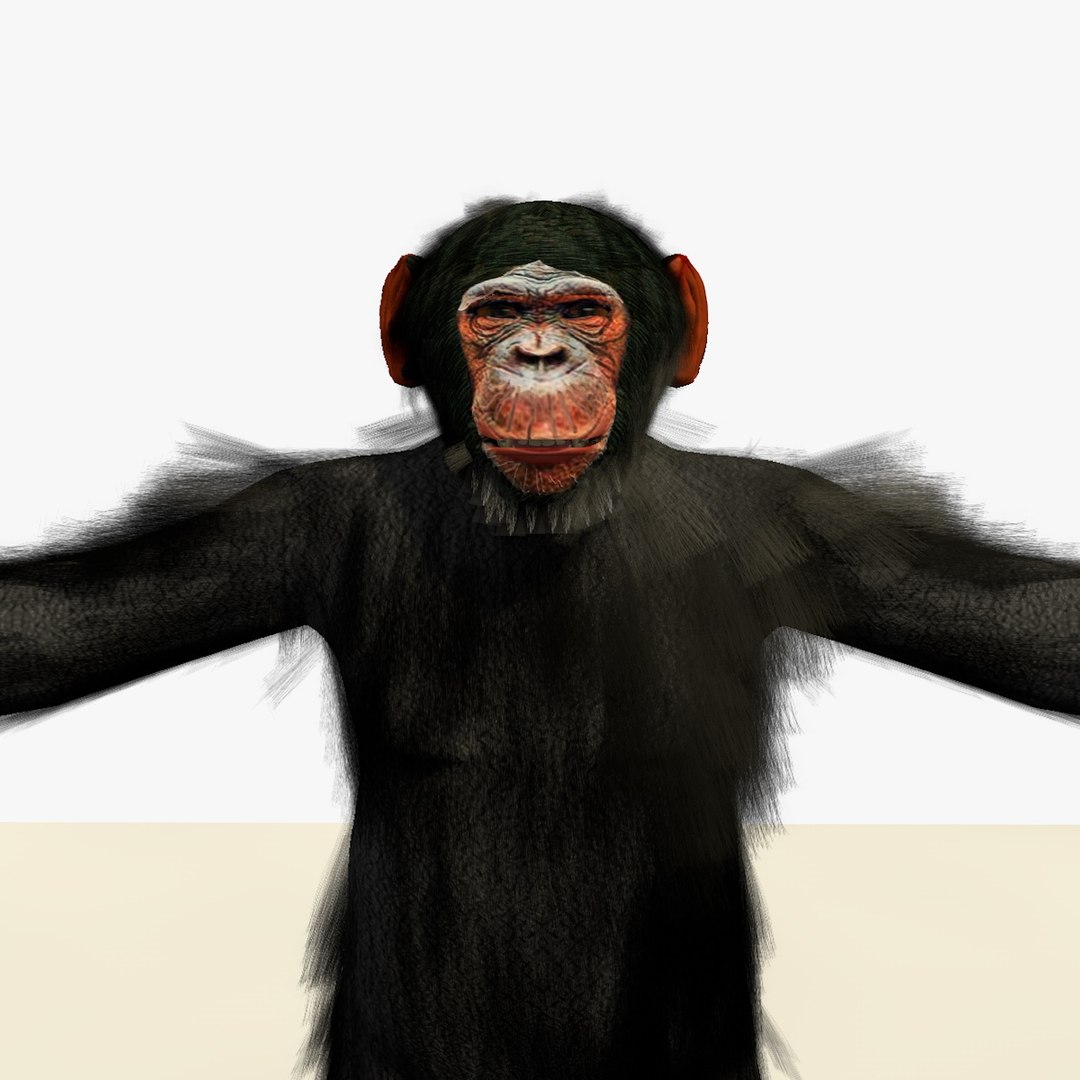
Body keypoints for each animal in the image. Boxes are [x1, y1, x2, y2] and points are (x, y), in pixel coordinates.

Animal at [2, 199, 1078, 1079]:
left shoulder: (809, 528)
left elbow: (1018, 614)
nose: (540, 356)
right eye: (494, 315)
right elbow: (61, 624)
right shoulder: (288, 524)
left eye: (582, 311)